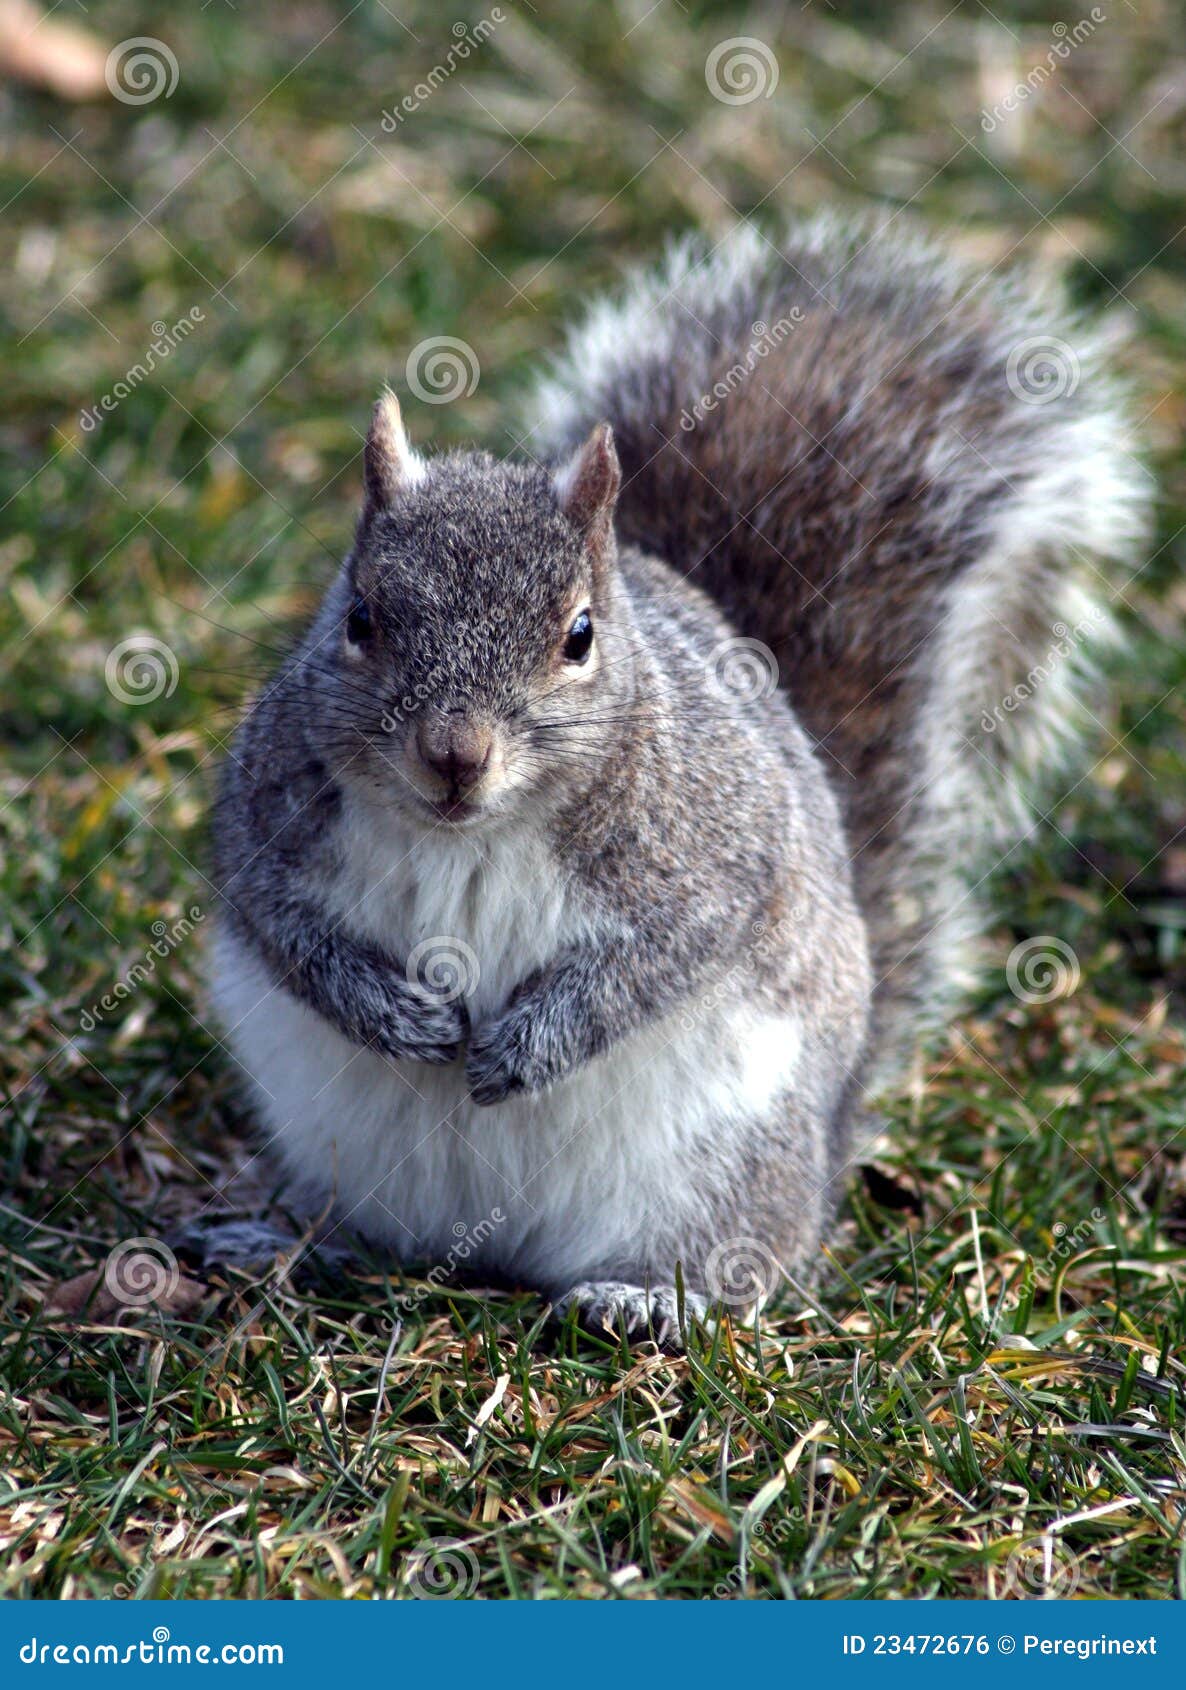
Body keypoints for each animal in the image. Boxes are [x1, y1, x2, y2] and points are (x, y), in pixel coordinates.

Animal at [209, 216, 1146, 1344]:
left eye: (578, 636)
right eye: (358, 618)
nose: (454, 754)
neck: (465, 833)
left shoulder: (711, 851)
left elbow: (659, 957)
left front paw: (528, 1047)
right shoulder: (266, 816)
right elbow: (281, 926)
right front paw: (389, 1012)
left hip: (728, 1160)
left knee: (746, 1264)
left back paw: (651, 1300)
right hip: (330, 1143)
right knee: (361, 1227)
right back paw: (289, 1245)